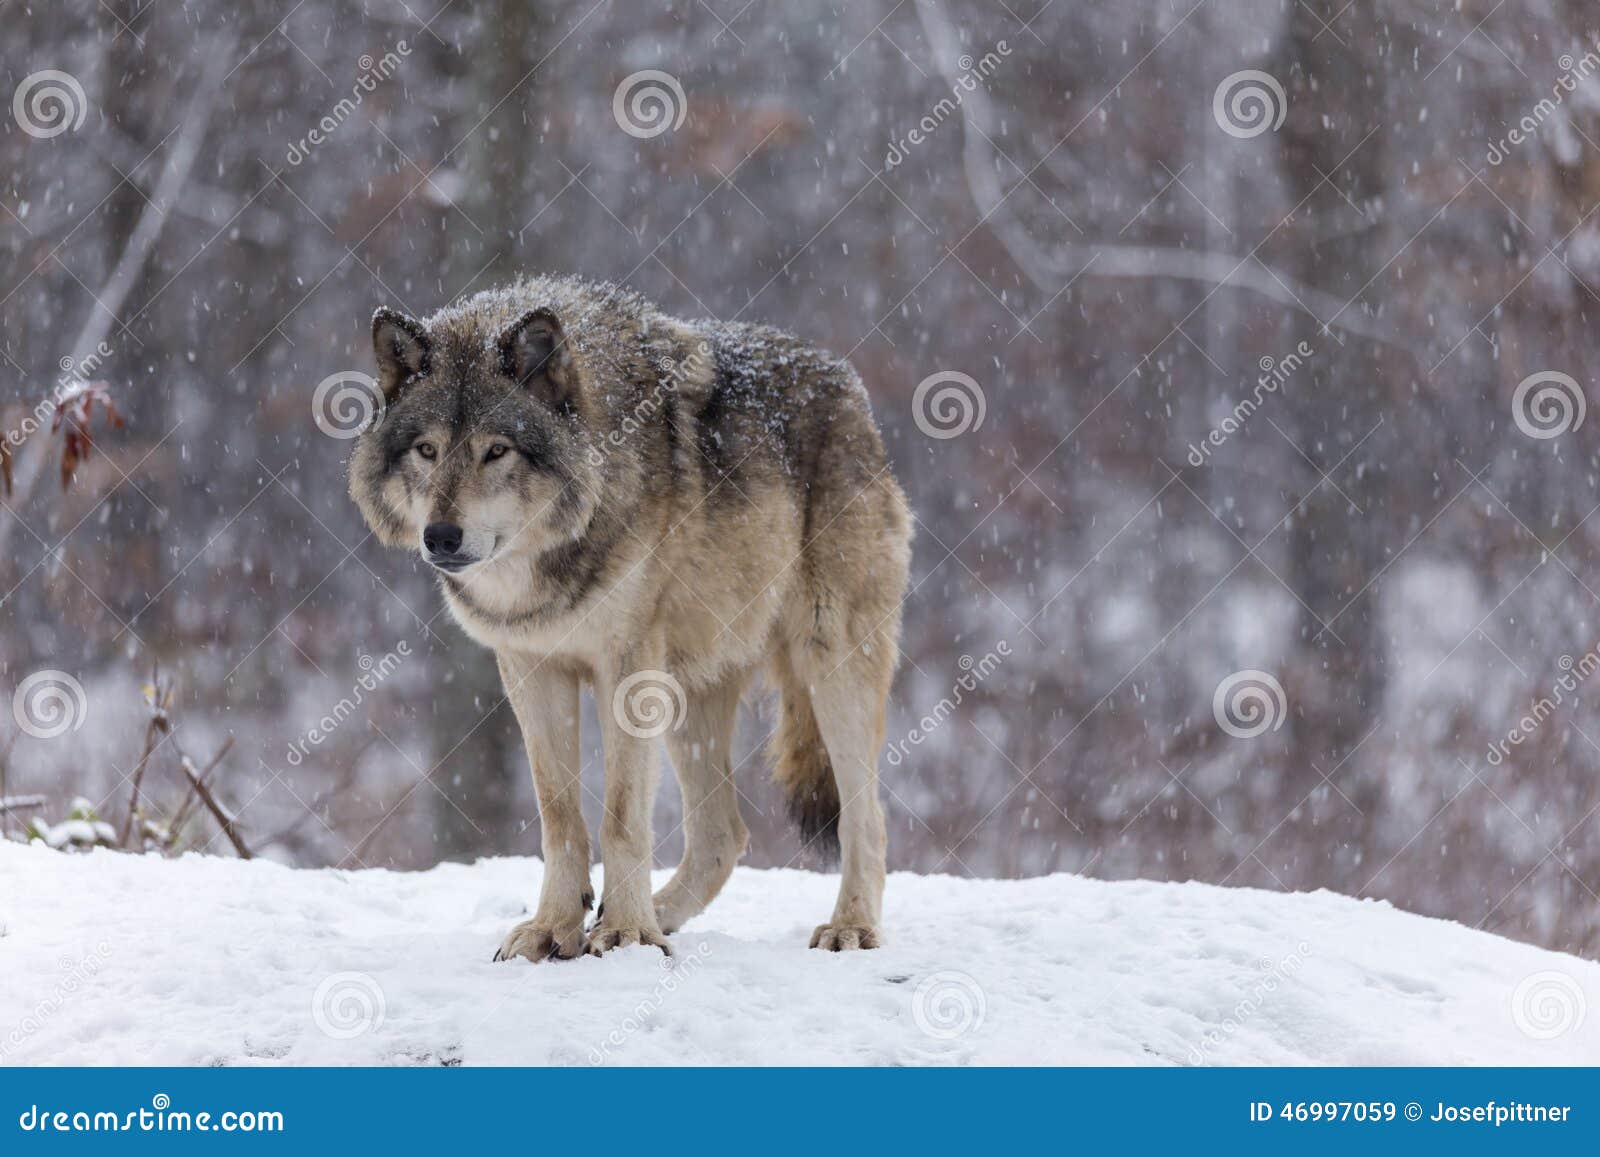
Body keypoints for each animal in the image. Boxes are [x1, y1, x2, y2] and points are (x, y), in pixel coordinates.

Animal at [347, 275, 912, 959]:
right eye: (427, 450)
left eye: (496, 451)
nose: (441, 537)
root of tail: (848, 387)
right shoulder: (530, 667)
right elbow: (560, 816)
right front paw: (556, 929)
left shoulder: (627, 667)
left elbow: (620, 816)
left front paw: (626, 934)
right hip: (691, 696)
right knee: (723, 834)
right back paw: (658, 912)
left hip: (830, 663)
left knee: (868, 817)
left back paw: (850, 926)